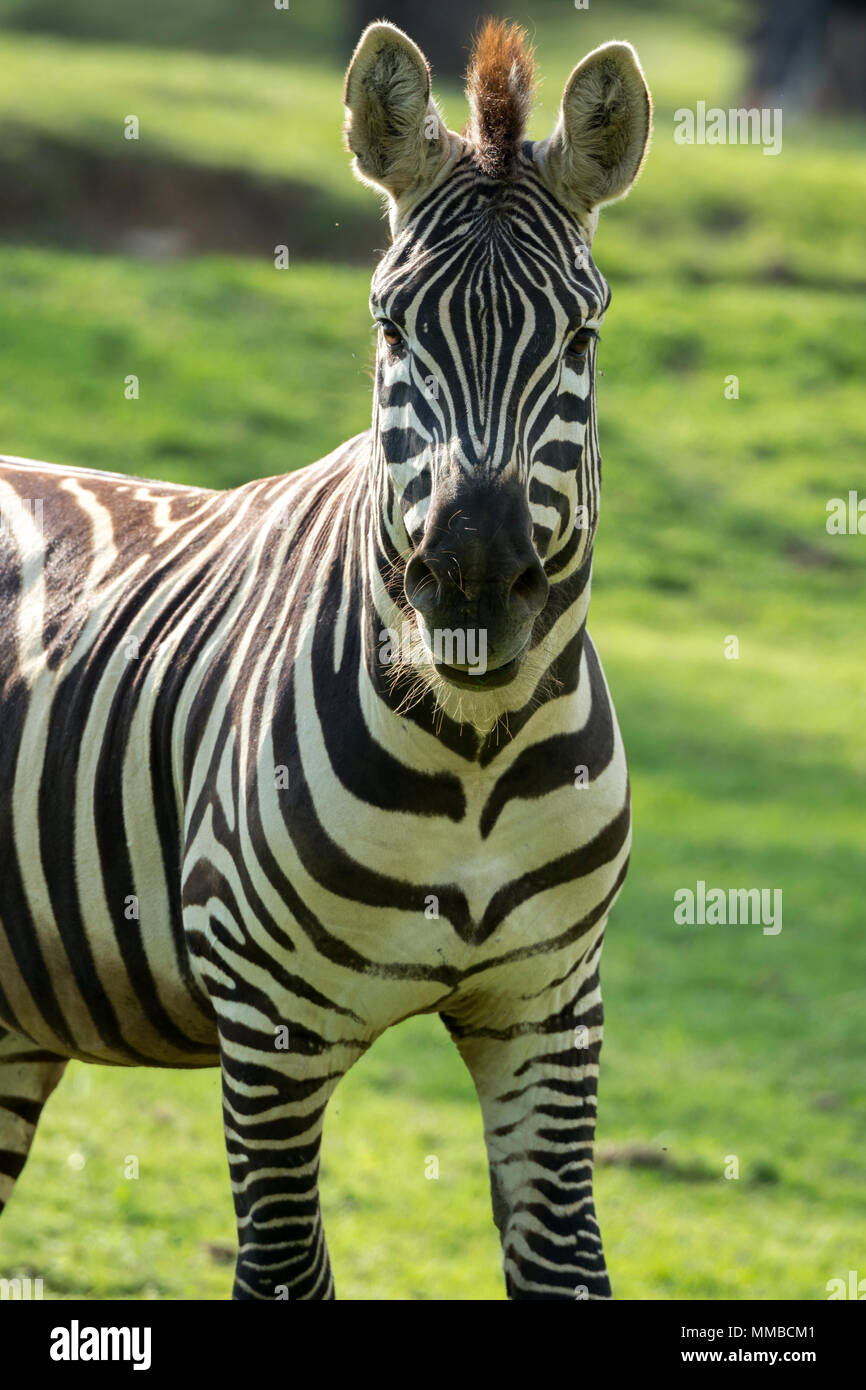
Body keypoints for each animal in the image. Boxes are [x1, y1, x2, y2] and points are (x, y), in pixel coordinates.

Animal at [0, 19, 650, 1299]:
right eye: (392, 327)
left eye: (580, 335)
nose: (471, 583)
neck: (477, 758)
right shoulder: (266, 1034)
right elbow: (282, 1271)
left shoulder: (551, 1011)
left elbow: (566, 1266)